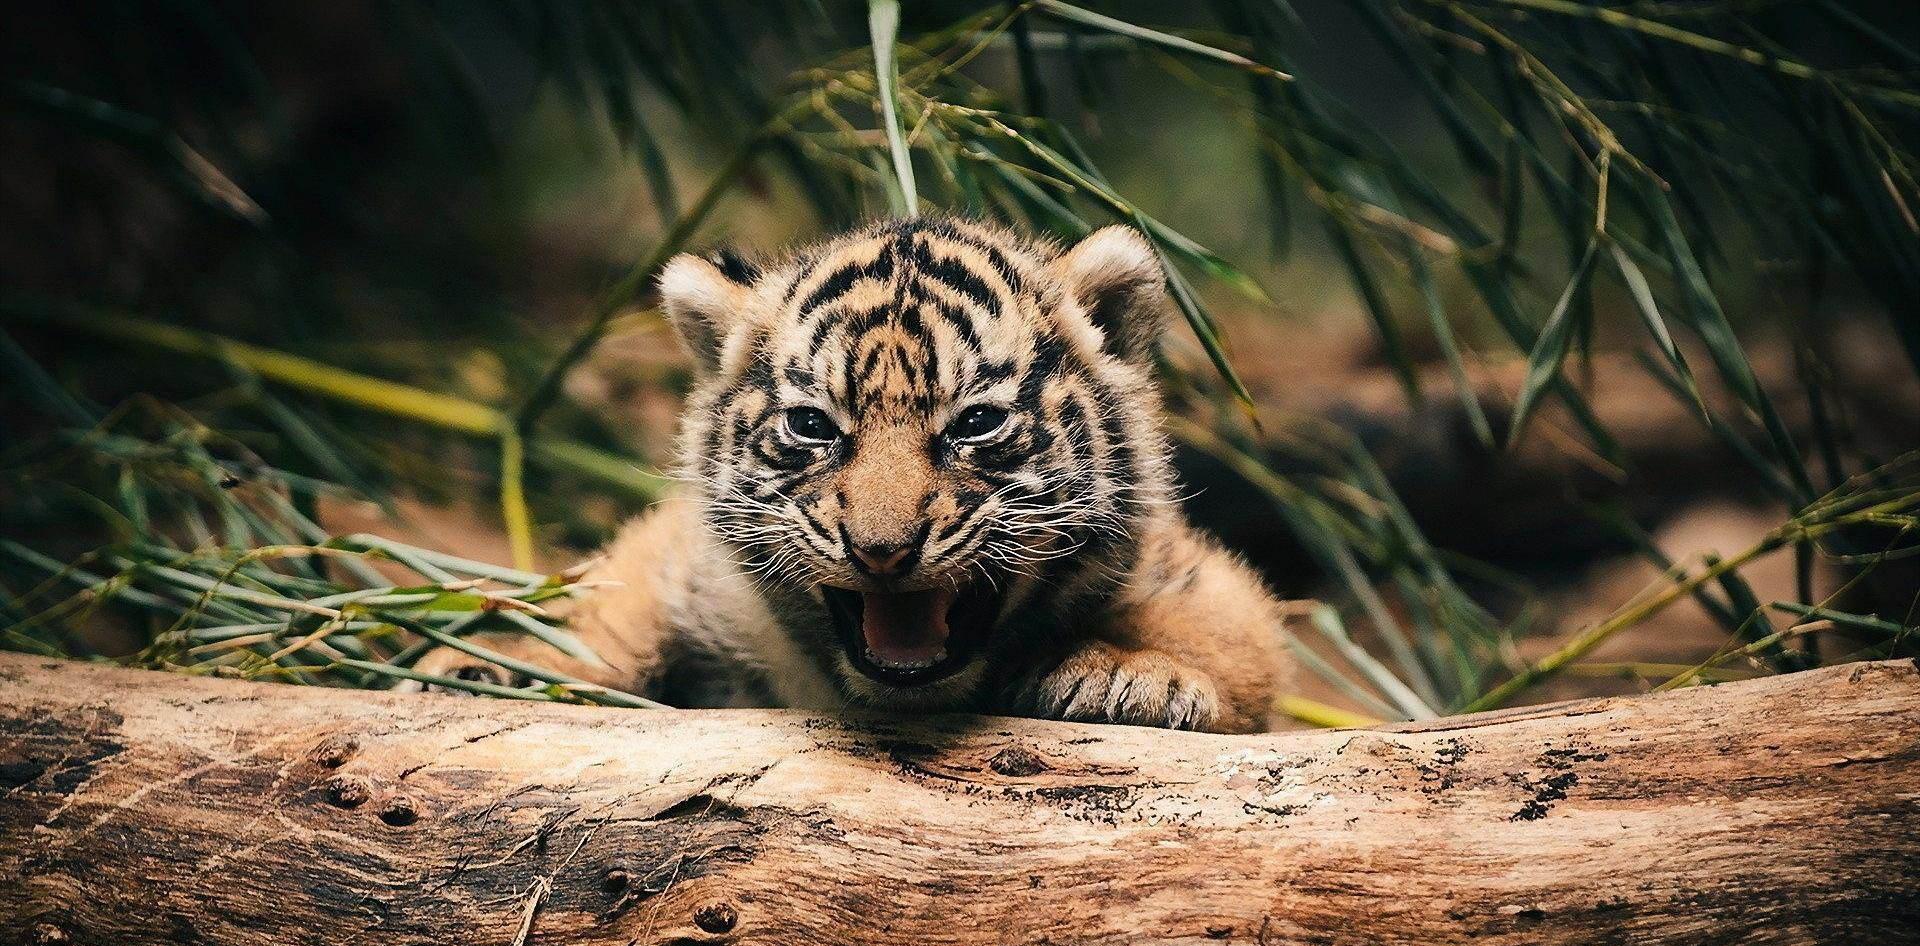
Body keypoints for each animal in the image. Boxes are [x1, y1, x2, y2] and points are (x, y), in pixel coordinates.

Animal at [411, 217, 1294, 733]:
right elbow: (606, 597)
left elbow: (1227, 628)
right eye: (813, 426)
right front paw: (489, 662)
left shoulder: (1192, 571)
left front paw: (1127, 675)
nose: (881, 551)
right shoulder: (683, 558)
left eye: (975, 423)